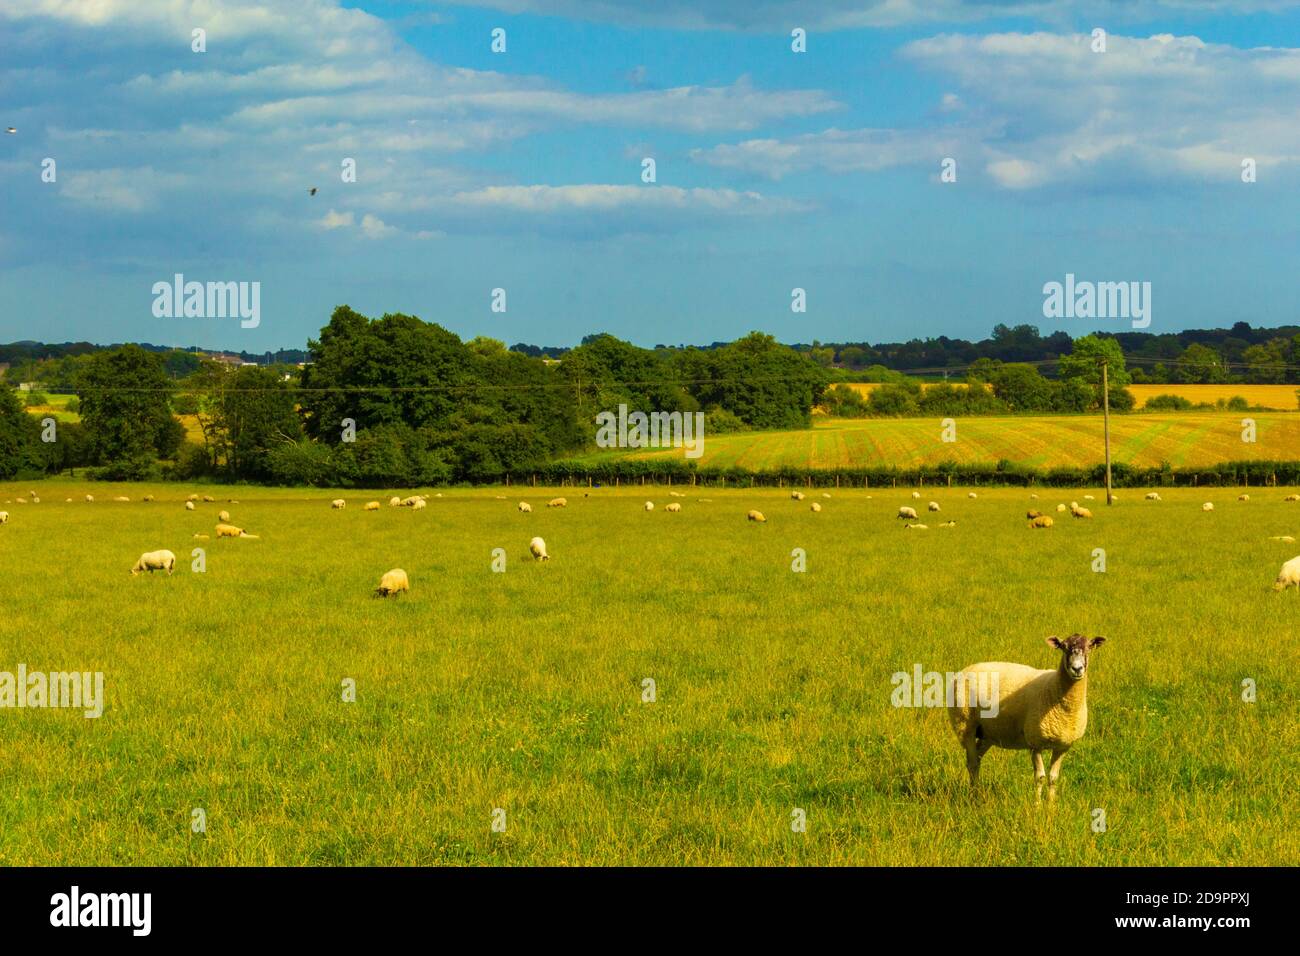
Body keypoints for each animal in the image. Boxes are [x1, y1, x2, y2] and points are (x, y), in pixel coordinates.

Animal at [948, 633, 1106, 796]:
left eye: (1089, 647)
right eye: (1063, 647)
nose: (1077, 668)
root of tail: (963, 671)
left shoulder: (1063, 746)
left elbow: (1053, 778)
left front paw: (1051, 803)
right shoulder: (1034, 742)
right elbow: (1040, 777)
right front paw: (1036, 803)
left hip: (988, 732)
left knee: (977, 758)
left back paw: (977, 791)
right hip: (964, 724)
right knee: (972, 762)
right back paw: (974, 796)